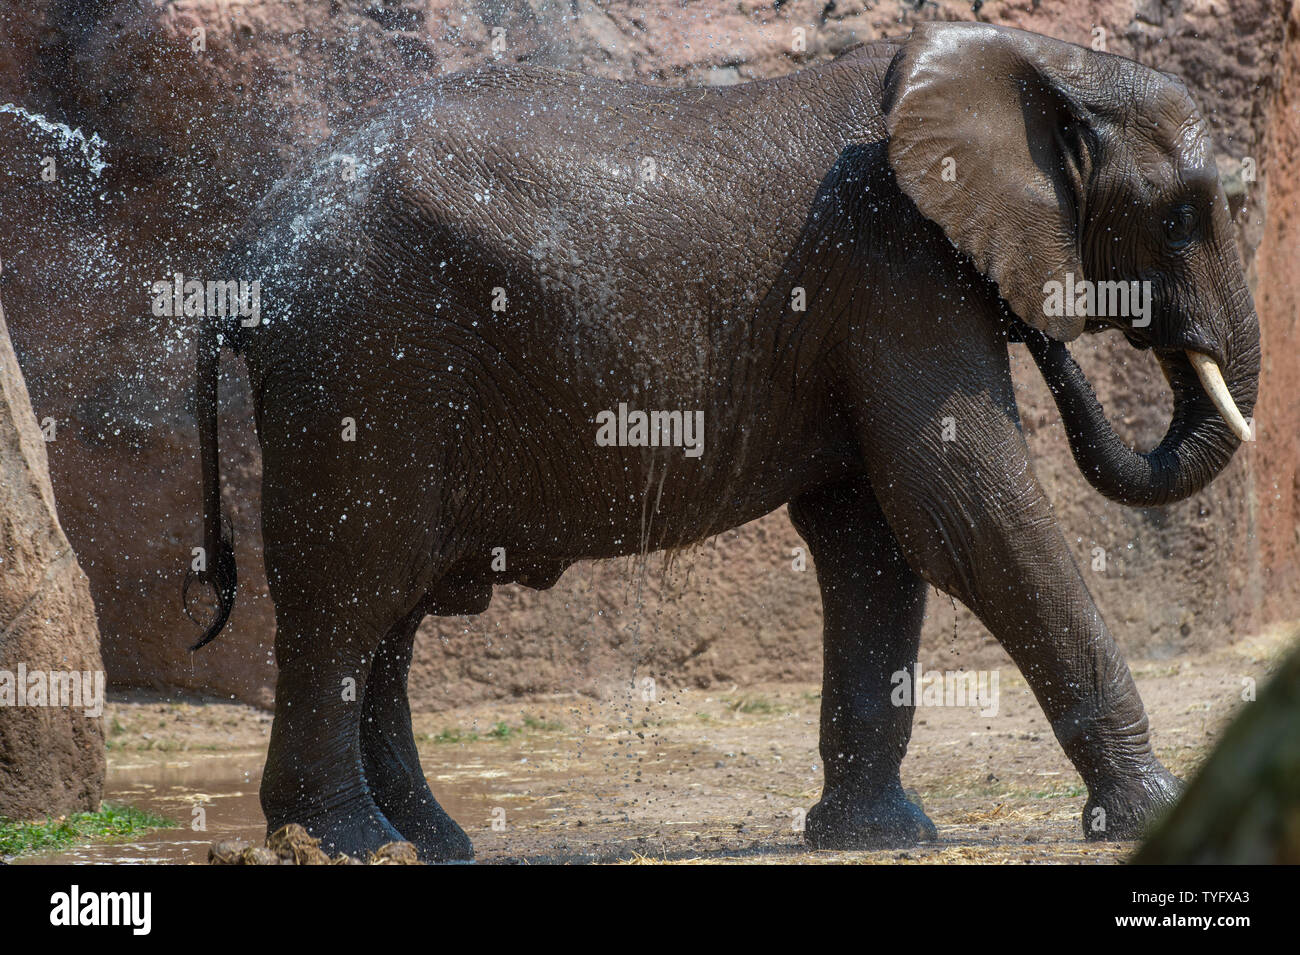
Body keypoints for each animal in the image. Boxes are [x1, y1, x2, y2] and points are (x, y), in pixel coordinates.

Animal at [187, 20, 1259, 861]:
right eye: (1179, 219)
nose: (1048, 334)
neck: (1034, 60)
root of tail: (247, 253)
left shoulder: (863, 296)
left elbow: (871, 542)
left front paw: (875, 836)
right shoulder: (897, 265)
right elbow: (963, 508)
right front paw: (1154, 811)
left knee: (391, 611)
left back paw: (430, 843)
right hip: (364, 362)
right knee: (350, 587)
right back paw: (346, 844)